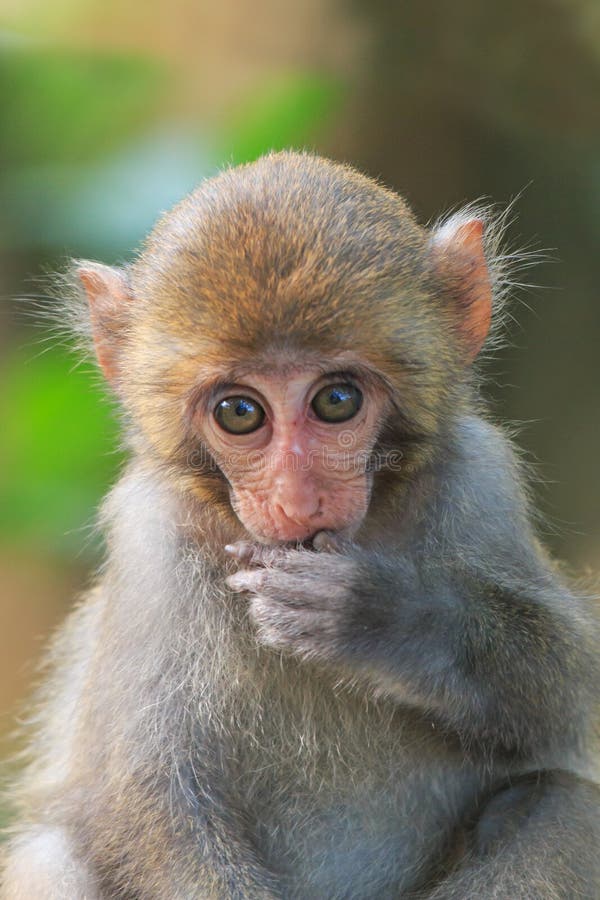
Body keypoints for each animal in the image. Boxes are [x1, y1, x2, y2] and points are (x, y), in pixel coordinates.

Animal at [1, 150, 599, 900]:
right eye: (239, 413)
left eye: (336, 399)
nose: (297, 499)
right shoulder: (150, 543)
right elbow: (143, 797)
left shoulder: (480, 478)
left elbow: (573, 693)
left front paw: (380, 616)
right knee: (49, 857)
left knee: (566, 806)